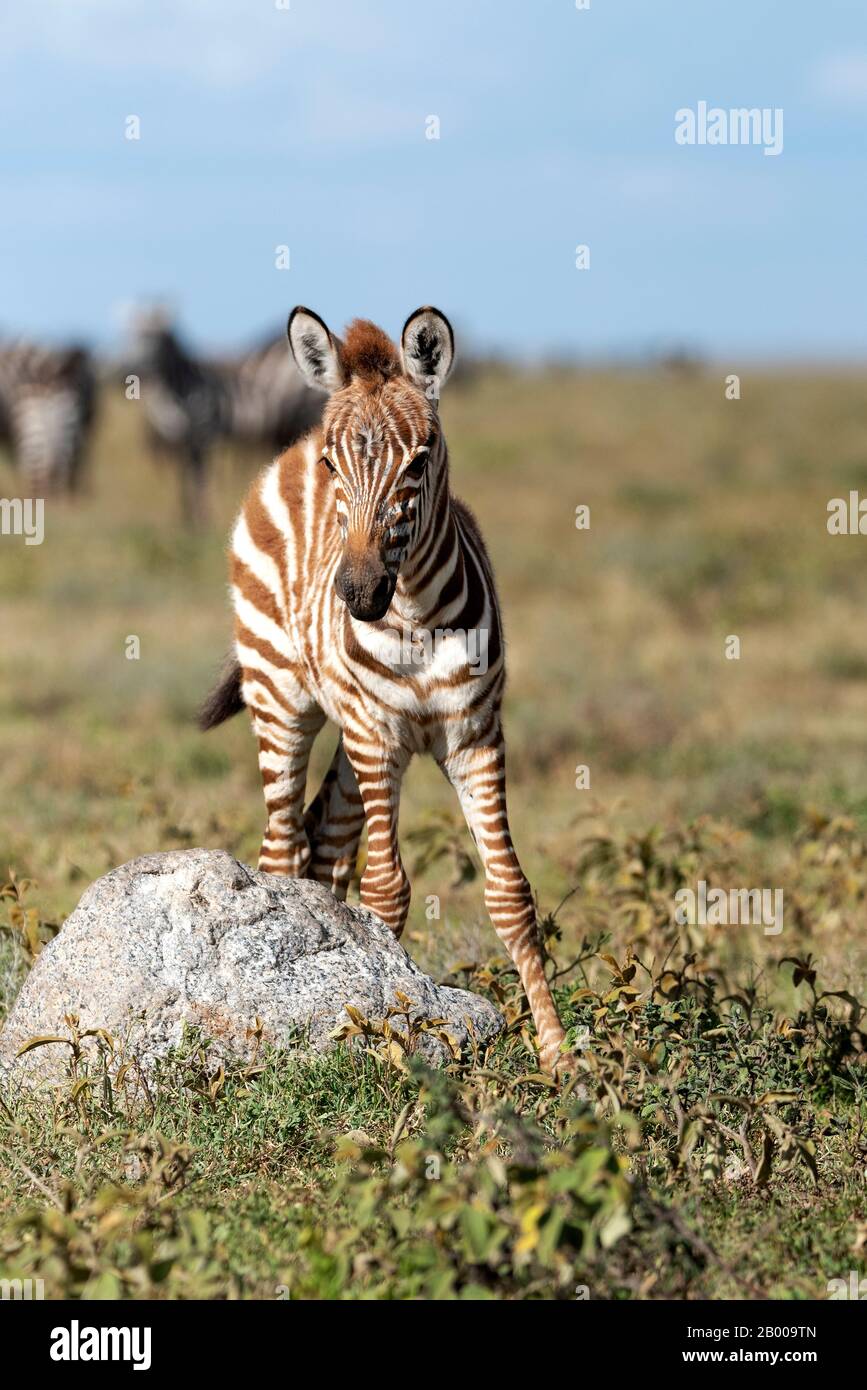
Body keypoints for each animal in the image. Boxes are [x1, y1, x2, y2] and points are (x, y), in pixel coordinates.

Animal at [199, 306, 572, 1073]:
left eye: (419, 461)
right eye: (333, 466)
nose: (359, 593)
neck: (419, 620)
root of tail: (286, 450)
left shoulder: (474, 737)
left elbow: (508, 893)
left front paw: (560, 1061)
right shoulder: (378, 739)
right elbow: (387, 891)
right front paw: (392, 1030)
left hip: (353, 737)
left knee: (323, 847)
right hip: (284, 701)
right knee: (282, 847)